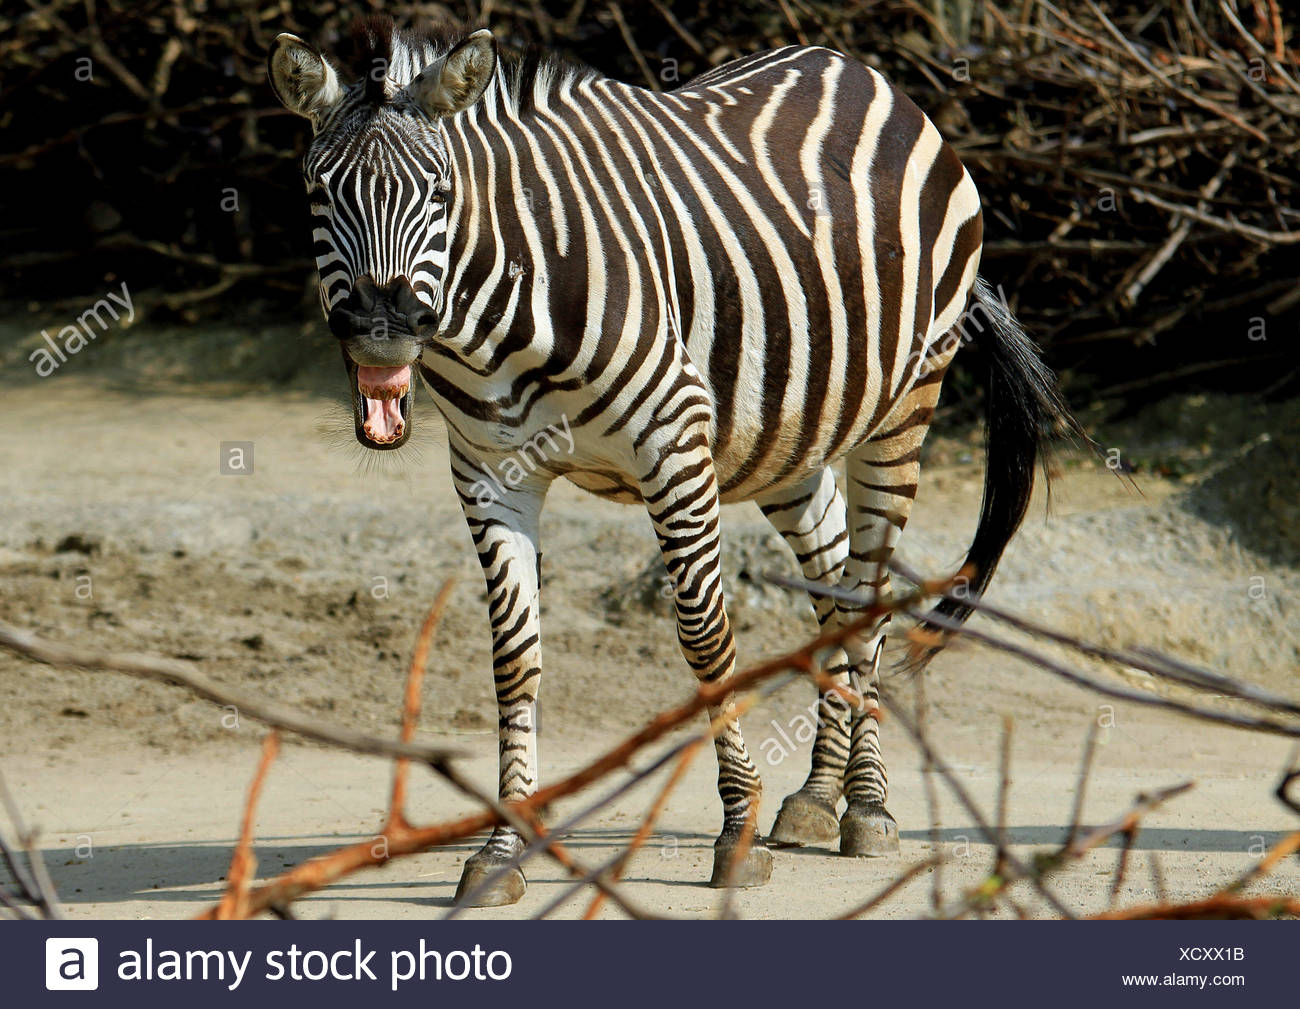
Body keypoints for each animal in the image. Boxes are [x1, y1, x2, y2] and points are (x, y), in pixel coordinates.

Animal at [268, 15, 1077, 908]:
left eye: (441, 195)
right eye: (318, 193)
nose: (382, 334)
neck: (496, 317)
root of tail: (863, 73)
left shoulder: (675, 443)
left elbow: (704, 637)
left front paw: (737, 827)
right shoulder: (488, 476)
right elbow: (515, 657)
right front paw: (501, 847)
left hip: (906, 403)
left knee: (868, 594)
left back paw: (866, 807)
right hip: (787, 437)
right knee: (832, 584)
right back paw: (818, 796)